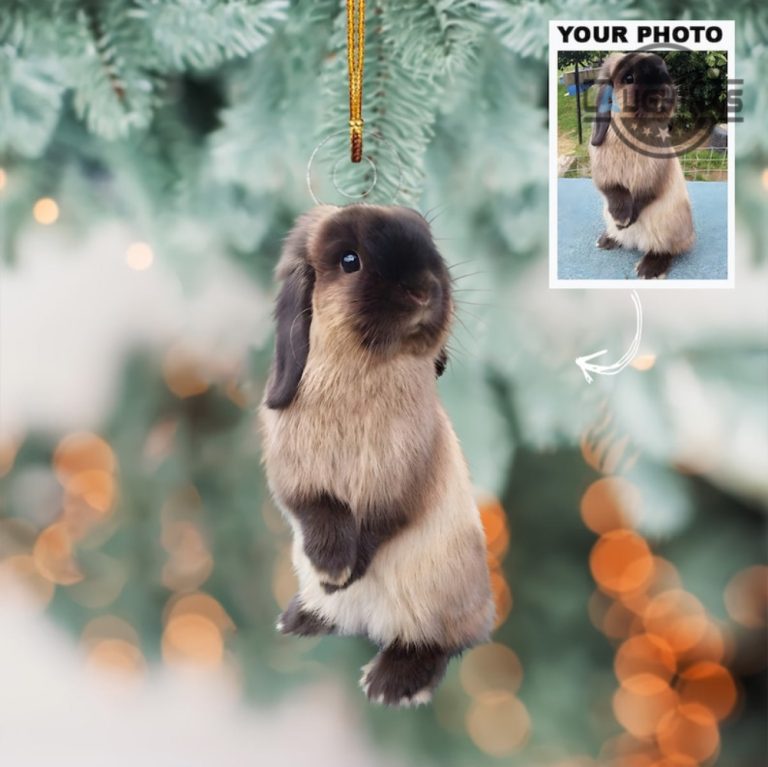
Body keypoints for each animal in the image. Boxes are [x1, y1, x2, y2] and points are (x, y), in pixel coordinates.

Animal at [259, 204, 494, 707]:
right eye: (350, 261)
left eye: (430, 242)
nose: (423, 288)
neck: (363, 371)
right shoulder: (293, 473)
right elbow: (317, 511)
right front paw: (333, 570)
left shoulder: (402, 478)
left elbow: (378, 523)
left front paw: (343, 573)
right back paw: (302, 617)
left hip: (436, 595)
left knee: (439, 642)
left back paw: (392, 684)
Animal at [589, 52, 695, 279]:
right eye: (629, 78)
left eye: (666, 71)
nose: (665, 93)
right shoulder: (604, 176)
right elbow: (615, 193)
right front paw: (622, 220)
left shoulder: (652, 179)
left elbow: (642, 197)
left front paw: (626, 220)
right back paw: (607, 239)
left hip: (668, 228)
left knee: (667, 250)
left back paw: (648, 269)